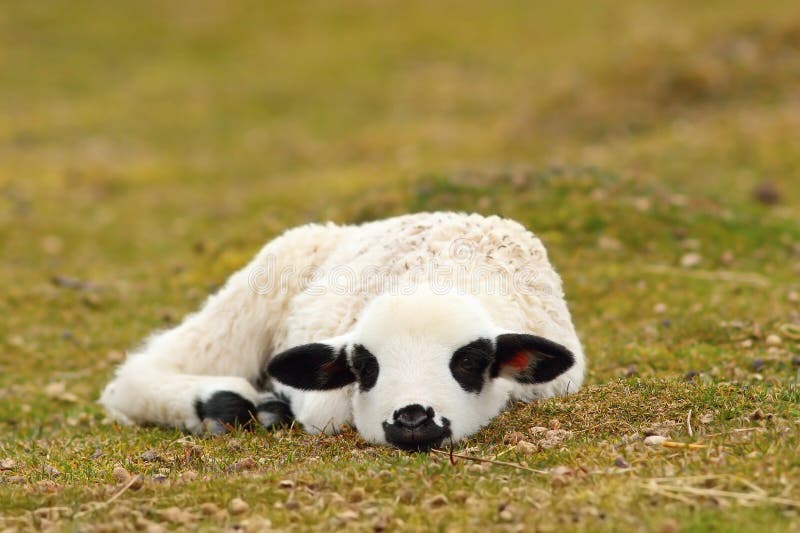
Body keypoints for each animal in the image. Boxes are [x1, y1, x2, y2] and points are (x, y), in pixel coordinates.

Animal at [100, 212, 585, 450]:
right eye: (365, 367)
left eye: (468, 362)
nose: (412, 417)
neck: (441, 274)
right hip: (262, 285)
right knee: (136, 377)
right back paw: (229, 404)